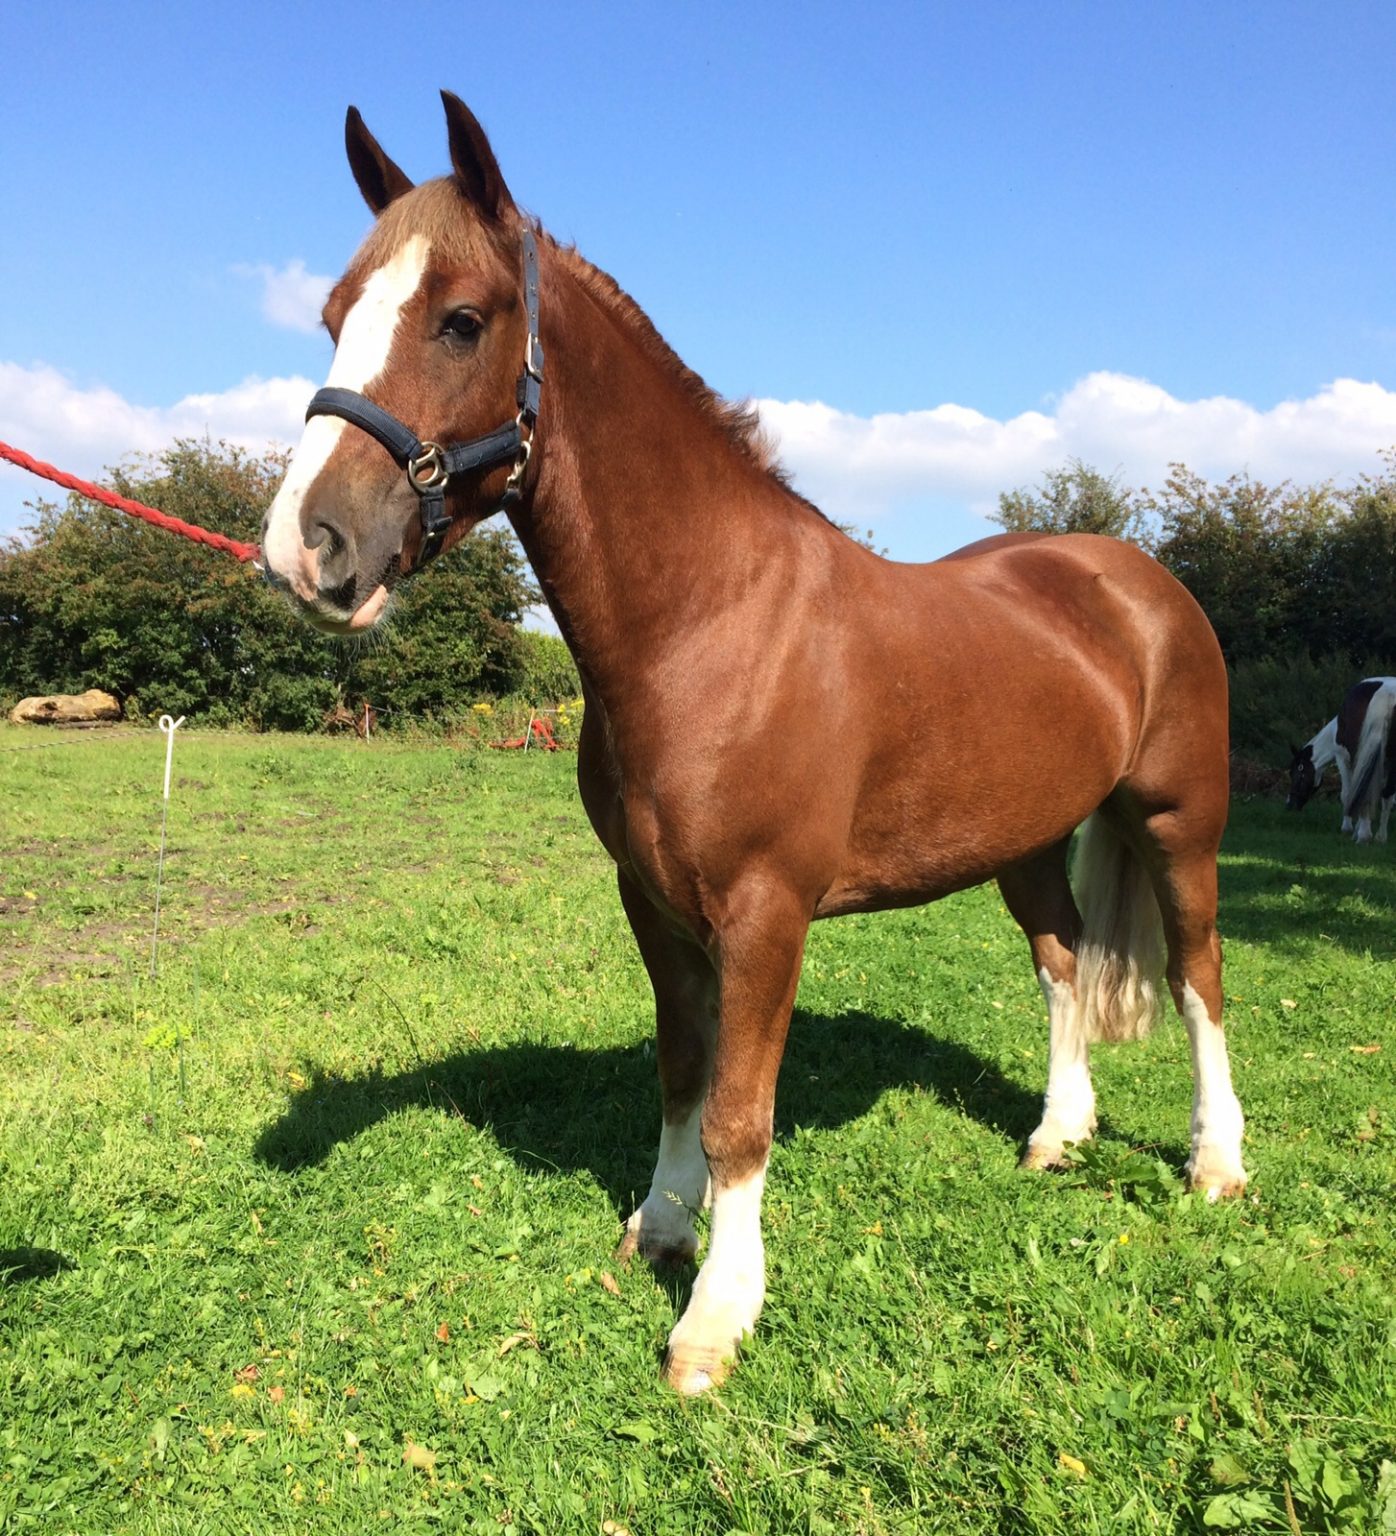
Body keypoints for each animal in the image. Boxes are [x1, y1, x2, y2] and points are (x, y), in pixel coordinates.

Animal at [260, 92, 1247, 1395]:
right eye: (331, 318)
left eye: (462, 320)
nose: (305, 548)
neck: (709, 625)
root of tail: (1136, 580)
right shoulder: (652, 902)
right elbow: (684, 1068)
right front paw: (661, 1226)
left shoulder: (766, 912)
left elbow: (740, 1109)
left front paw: (715, 1316)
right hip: (1026, 841)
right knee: (1064, 963)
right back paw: (1056, 1136)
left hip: (1179, 822)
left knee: (1196, 977)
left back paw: (1214, 1162)